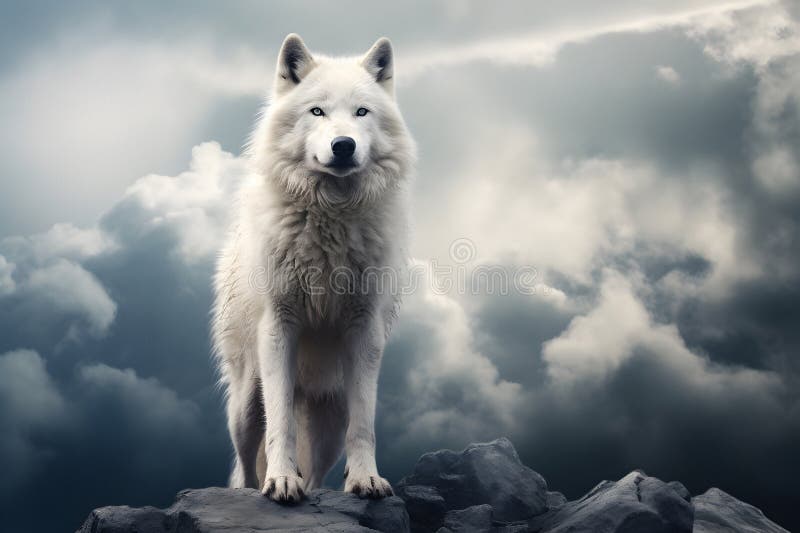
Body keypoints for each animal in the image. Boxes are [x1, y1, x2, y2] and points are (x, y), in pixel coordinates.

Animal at [211, 34, 415, 503]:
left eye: (362, 112)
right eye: (317, 111)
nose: (343, 145)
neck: (331, 219)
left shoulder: (365, 332)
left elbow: (365, 426)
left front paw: (366, 480)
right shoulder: (278, 326)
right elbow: (280, 425)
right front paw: (281, 481)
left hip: (330, 419)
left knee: (319, 473)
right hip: (245, 404)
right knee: (243, 464)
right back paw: (252, 489)